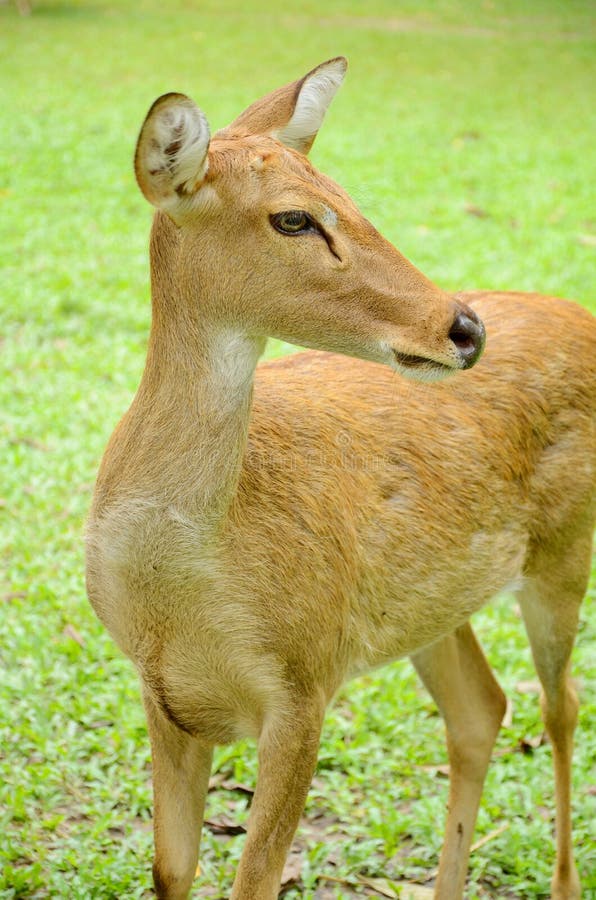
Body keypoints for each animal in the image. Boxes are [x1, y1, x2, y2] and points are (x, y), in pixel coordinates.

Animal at [85, 57, 595, 900]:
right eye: (295, 218)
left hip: (564, 553)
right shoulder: (165, 699)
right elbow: (170, 871)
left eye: (347, 195)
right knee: (481, 708)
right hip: (430, 605)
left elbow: (254, 881)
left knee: (560, 709)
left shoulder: (304, 682)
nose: (464, 328)